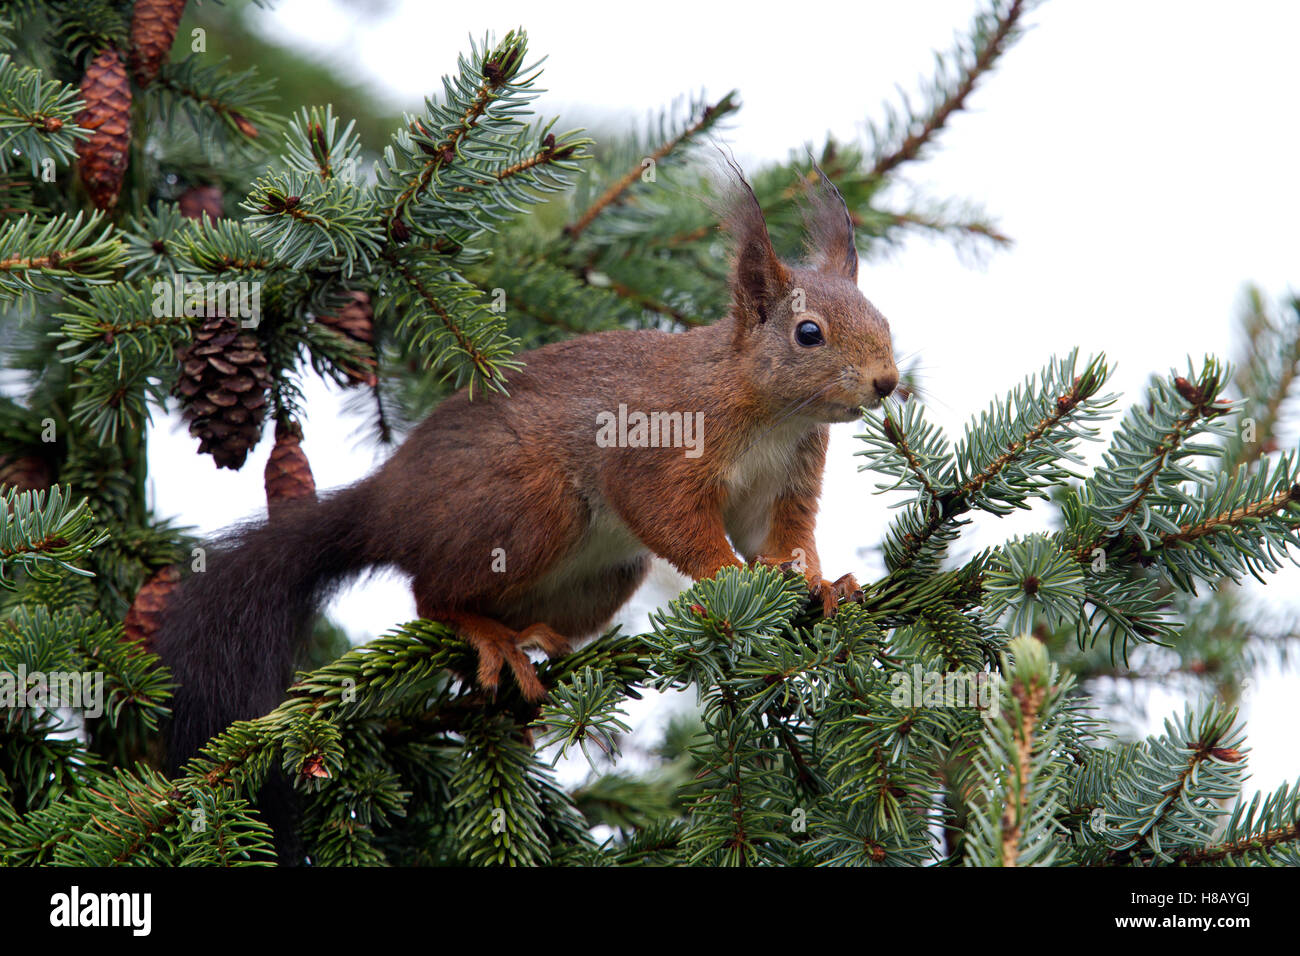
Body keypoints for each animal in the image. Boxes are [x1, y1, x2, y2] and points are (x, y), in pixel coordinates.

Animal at [153, 162, 899, 768]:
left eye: (886, 322)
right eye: (809, 334)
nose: (888, 383)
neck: (773, 415)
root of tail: (385, 503)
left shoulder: (786, 482)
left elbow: (782, 537)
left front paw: (821, 583)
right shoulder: (658, 449)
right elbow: (674, 520)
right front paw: (729, 579)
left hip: (596, 579)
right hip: (533, 507)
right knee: (430, 595)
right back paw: (495, 641)